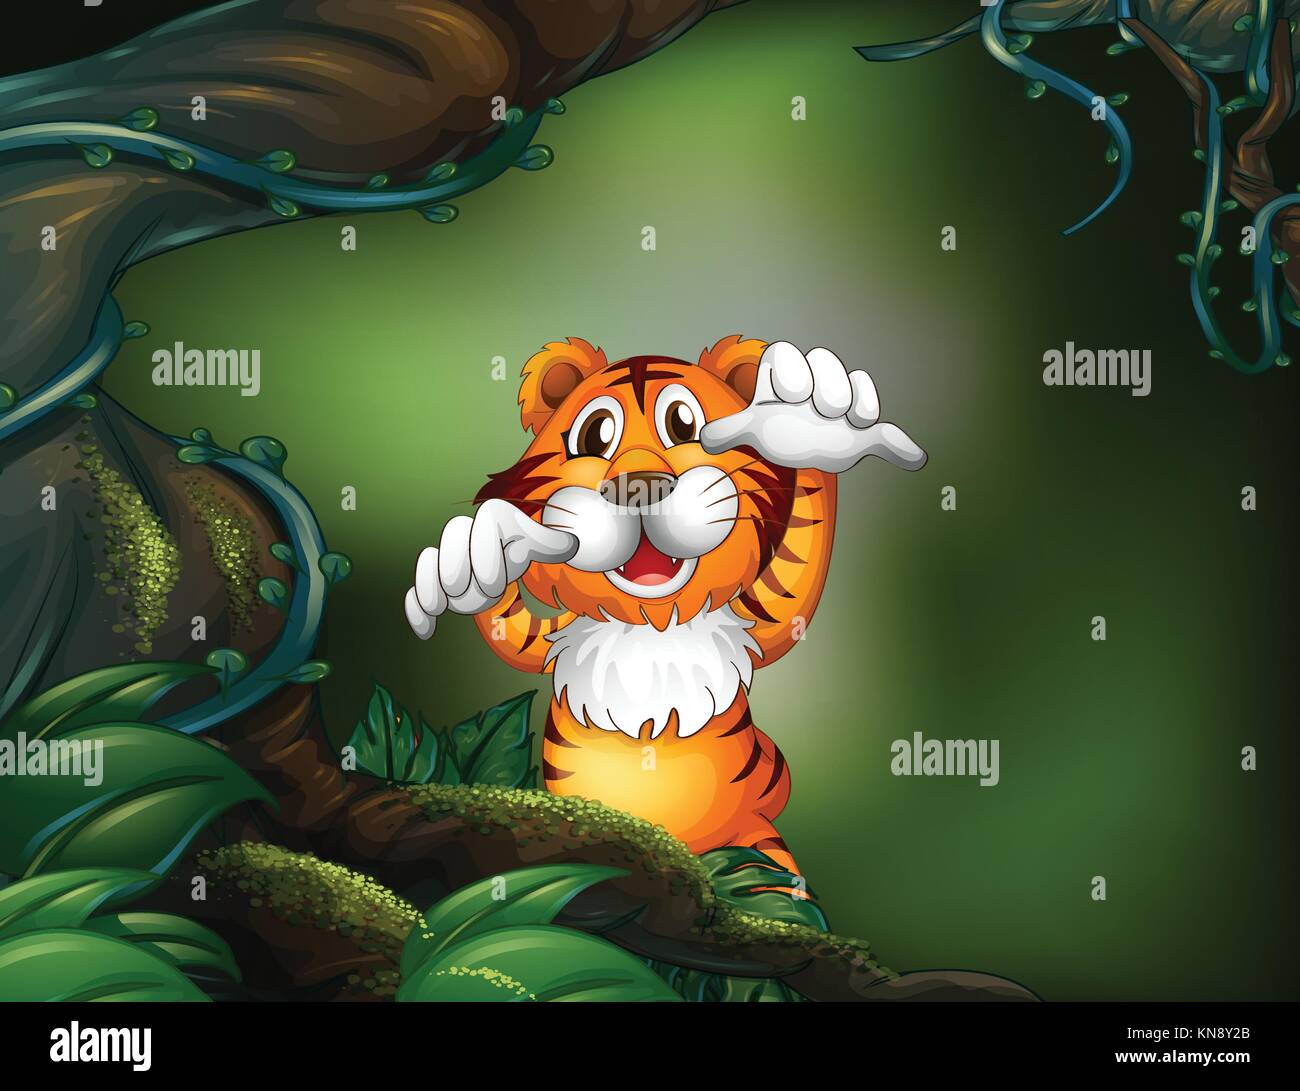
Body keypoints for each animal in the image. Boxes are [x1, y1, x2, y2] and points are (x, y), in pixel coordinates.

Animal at [404, 336, 926, 875]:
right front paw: (475, 558)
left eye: (683, 424)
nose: (638, 486)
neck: (650, 623)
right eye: (596, 434)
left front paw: (811, 419)